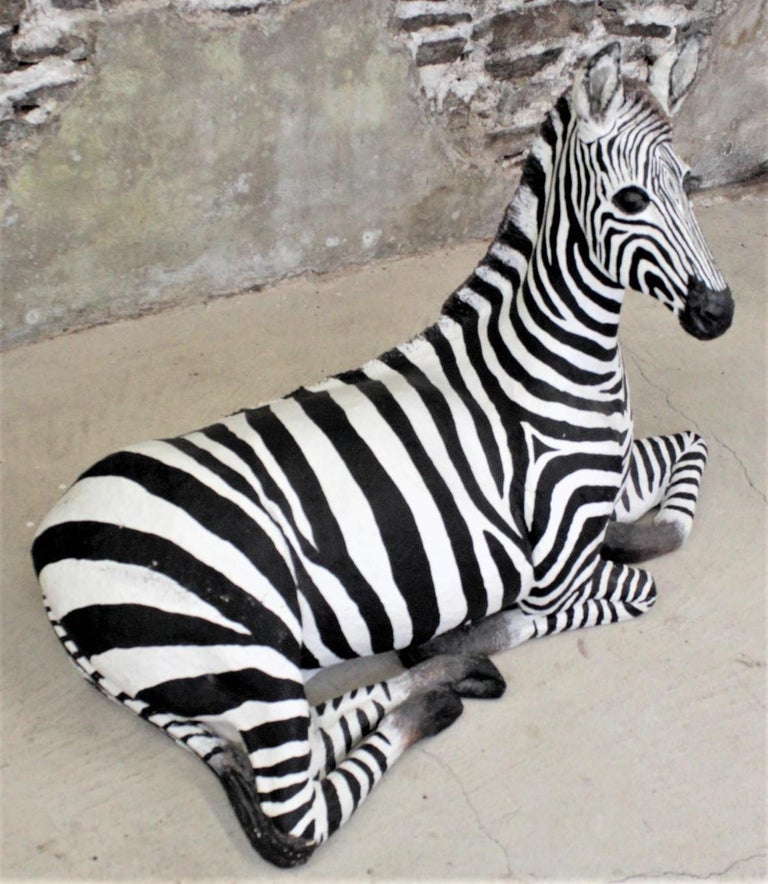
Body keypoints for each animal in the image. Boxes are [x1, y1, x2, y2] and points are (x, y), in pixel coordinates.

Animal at [32, 40, 733, 868]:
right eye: (628, 200)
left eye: (687, 182)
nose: (719, 314)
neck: (546, 363)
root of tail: (46, 552)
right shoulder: (558, 559)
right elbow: (634, 578)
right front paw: (502, 616)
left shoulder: (609, 482)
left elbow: (686, 456)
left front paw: (621, 538)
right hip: (246, 665)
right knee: (300, 801)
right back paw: (439, 684)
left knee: (314, 724)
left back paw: (447, 674)